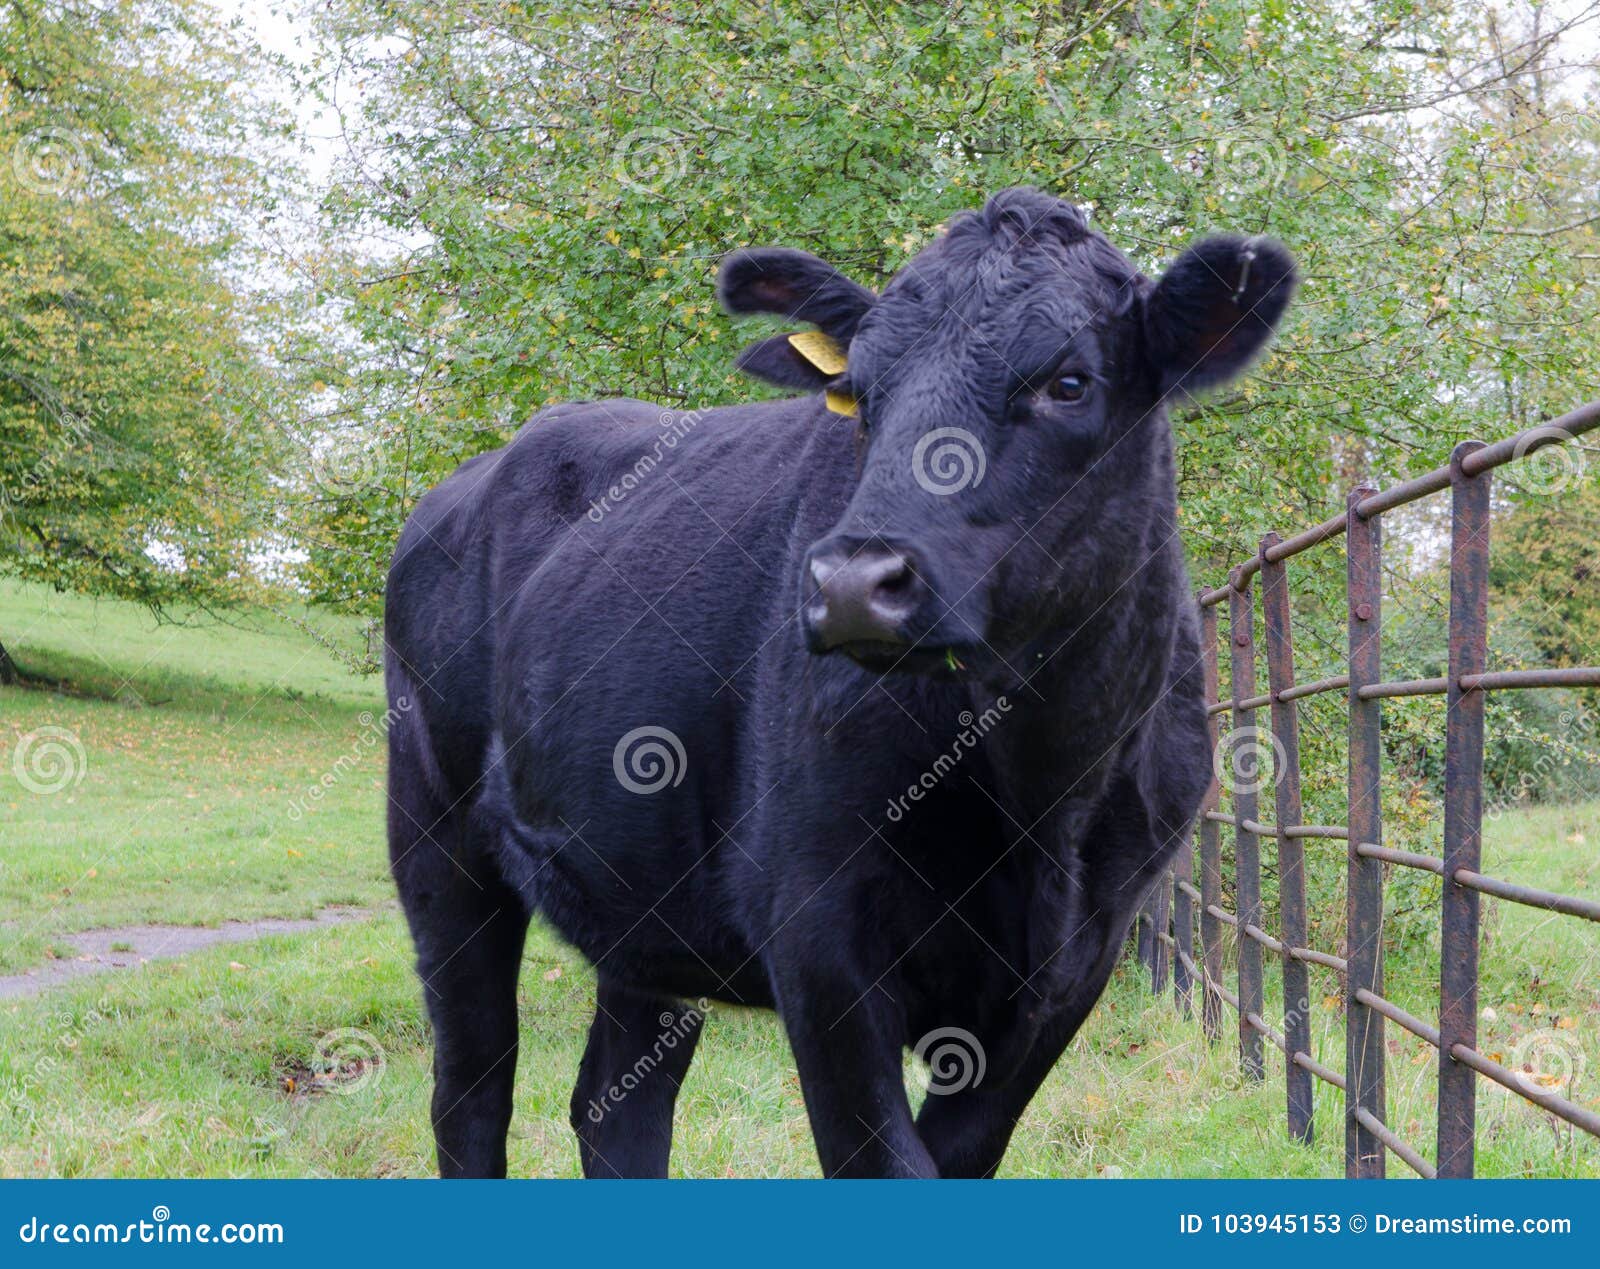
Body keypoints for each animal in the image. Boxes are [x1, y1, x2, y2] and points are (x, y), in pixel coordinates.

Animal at [383, 187, 1294, 1178]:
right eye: (859, 393)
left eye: (1069, 383)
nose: (853, 582)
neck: (1041, 786)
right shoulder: (820, 941)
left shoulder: (1078, 960)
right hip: (434, 839)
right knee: (472, 1088)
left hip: (639, 891)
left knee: (615, 1107)